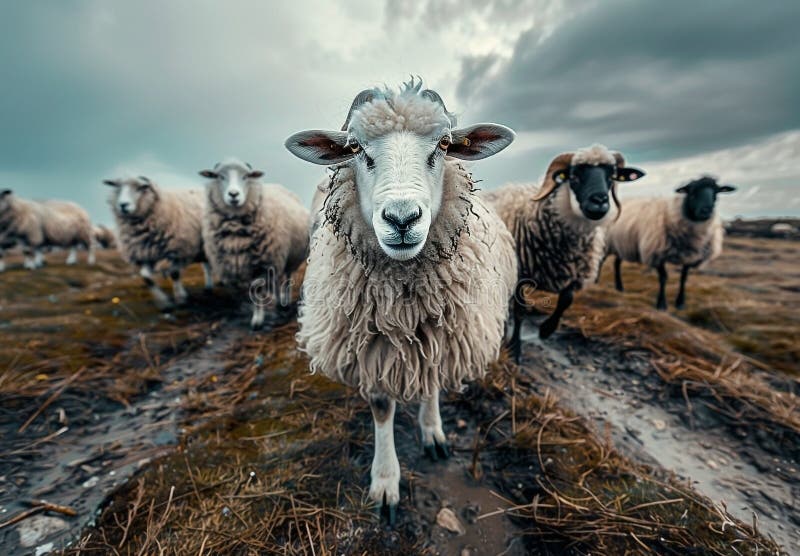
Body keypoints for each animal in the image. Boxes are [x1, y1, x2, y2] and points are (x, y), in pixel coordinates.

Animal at [103, 176, 212, 310]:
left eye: (141, 188)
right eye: (117, 188)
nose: (123, 205)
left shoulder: (175, 250)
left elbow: (174, 273)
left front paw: (180, 298)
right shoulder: (146, 254)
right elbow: (146, 277)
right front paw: (164, 302)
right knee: (206, 265)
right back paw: (208, 288)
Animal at [199, 158, 309, 329]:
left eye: (246, 176)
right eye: (219, 176)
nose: (233, 194)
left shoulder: (262, 263)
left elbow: (257, 292)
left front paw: (257, 320)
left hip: (288, 258)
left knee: (286, 279)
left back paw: (284, 300)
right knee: (277, 281)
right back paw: (278, 300)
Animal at [285, 79, 517, 523]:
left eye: (443, 144)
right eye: (356, 147)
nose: (402, 219)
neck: (405, 308)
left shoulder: (444, 336)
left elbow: (432, 383)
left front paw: (433, 433)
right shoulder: (368, 347)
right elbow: (381, 408)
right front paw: (385, 481)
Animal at [481, 144, 645, 362]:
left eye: (611, 176)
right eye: (574, 175)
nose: (599, 202)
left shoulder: (575, 273)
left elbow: (566, 300)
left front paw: (546, 330)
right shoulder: (521, 274)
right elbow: (520, 311)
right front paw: (515, 349)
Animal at [607, 176, 735, 310]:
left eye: (716, 193)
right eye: (692, 193)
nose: (706, 211)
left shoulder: (690, 256)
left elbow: (683, 278)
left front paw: (680, 303)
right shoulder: (657, 252)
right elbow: (663, 278)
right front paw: (661, 304)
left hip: (621, 245)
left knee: (616, 263)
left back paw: (619, 287)